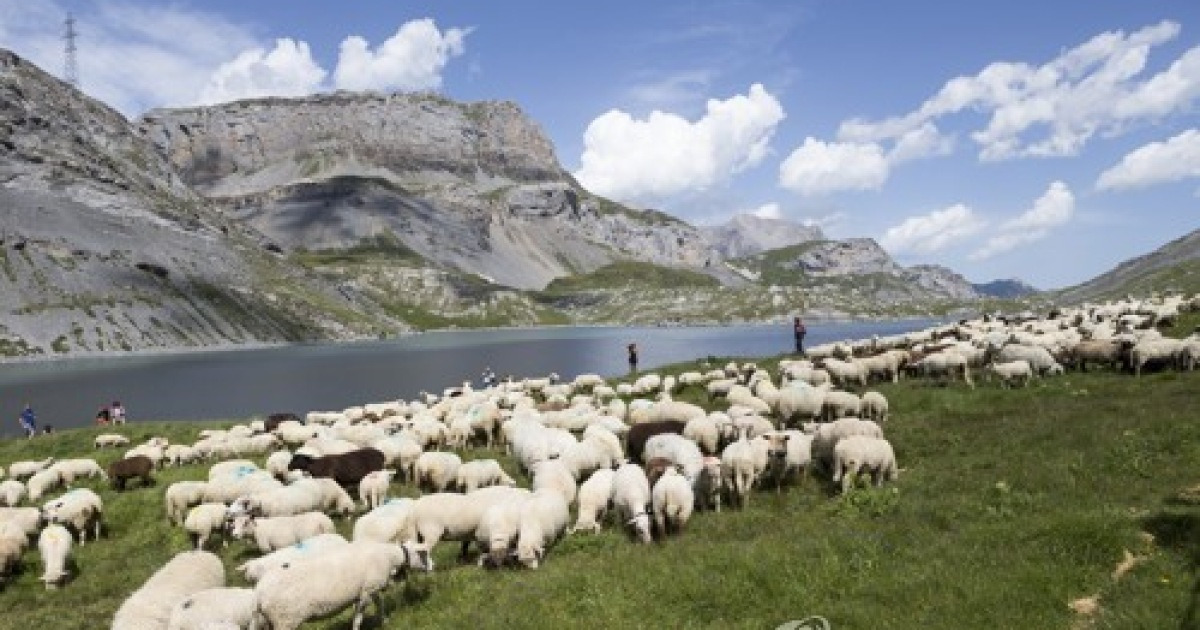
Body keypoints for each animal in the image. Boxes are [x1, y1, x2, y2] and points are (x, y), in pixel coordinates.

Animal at [253, 541, 432, 630]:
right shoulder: (365, 593)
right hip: (285, 620)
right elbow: (358, 619)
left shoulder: (371, 588)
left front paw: (384, 621)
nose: (433, 566)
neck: (390, 557)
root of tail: (259, 592)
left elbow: (379, 604)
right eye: (423, 554)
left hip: (267, 621)